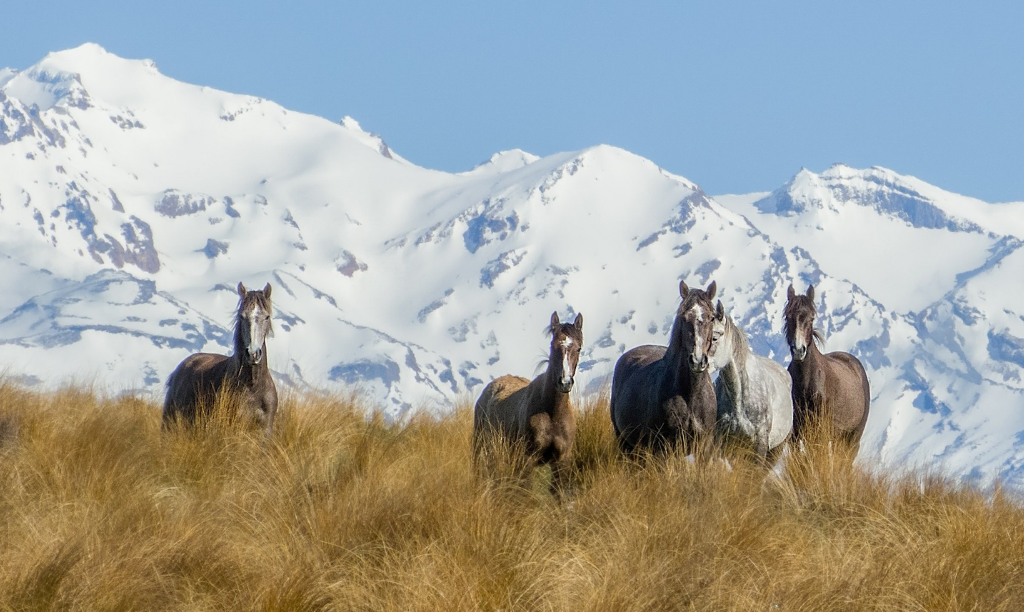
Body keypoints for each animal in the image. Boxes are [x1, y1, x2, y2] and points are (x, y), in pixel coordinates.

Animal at [473, 311, 583, 498]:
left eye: (578, 348)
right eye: (553, 346)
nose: (564, 382)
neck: (552, 413)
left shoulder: (562, 460)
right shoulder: (527, 459)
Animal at [610, 280, 723, 455]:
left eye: (711, 318)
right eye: (684, 318)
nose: (697, 360)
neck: (690, 395)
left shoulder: (704, 443)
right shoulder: (664, 446)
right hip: (624, 441)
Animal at [783, 284, 870, 456]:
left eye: (811, 318)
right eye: (788, 317)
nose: (798, 350)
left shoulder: (819, 435)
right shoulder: (795, 437)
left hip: (852, 439)